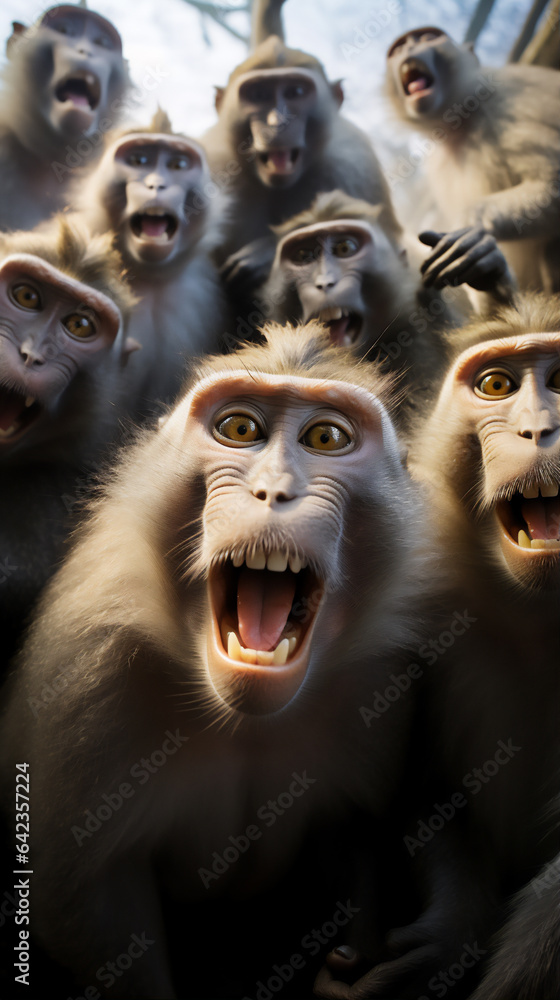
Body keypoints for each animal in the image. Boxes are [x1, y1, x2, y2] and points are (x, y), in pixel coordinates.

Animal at [0, 322, 438, 999]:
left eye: (326, 439)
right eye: (239, 428)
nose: (274, 491)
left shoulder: (380, 682)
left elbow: (353, 837)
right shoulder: (86, 670)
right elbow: (85, 895)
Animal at [385, 27, 560, 294]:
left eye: (427, 38)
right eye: (399, 48)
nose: (409, 47)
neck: (460, 120)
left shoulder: (503, 110)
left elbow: (551, 182)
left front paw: (471, 234)